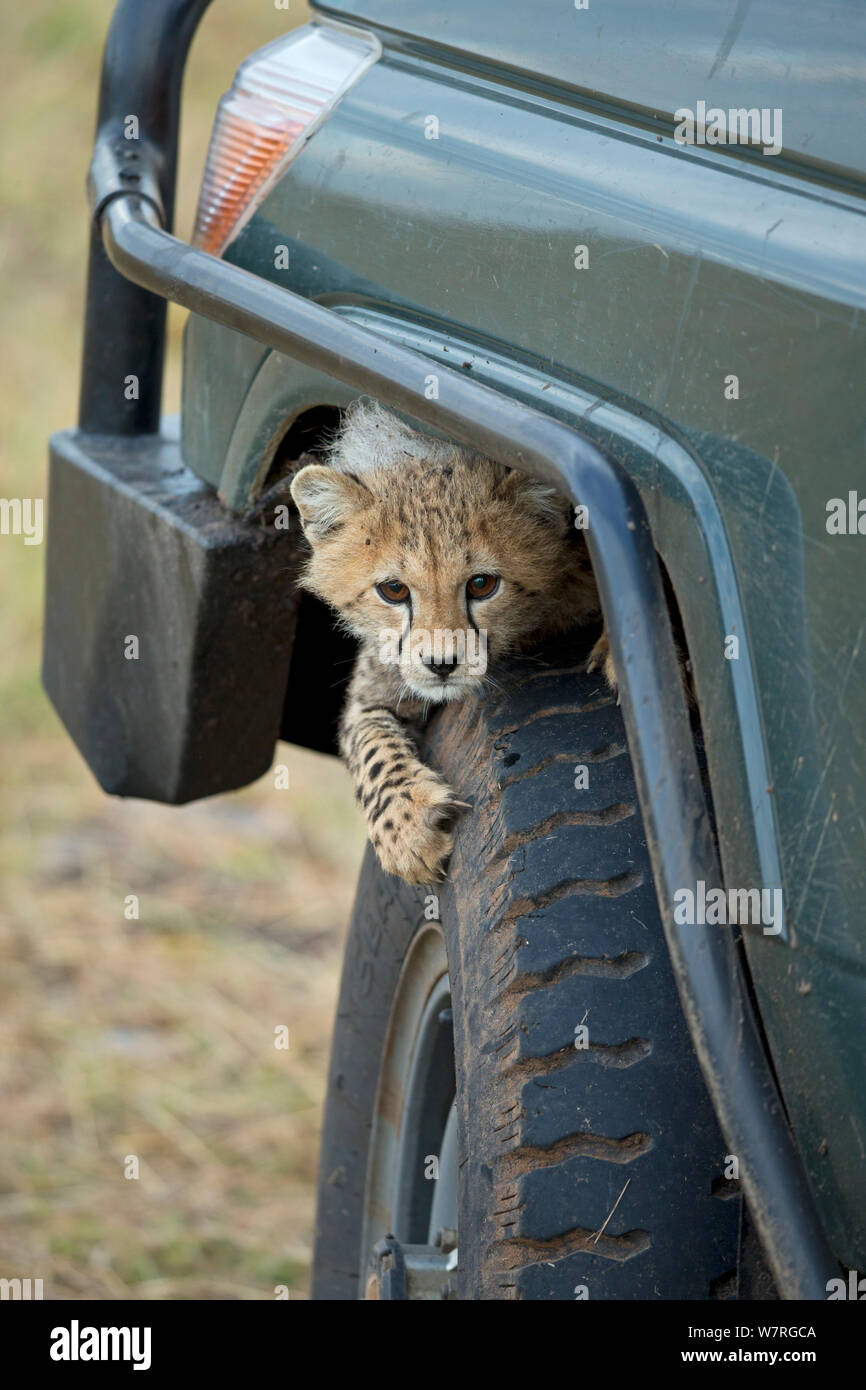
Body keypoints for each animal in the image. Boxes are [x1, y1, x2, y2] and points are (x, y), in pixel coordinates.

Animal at [289, 400, 613, 885]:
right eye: (394, 590)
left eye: (482, 584)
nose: (442, 664)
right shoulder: (377, 686)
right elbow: (369, 742)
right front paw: (405, 830)